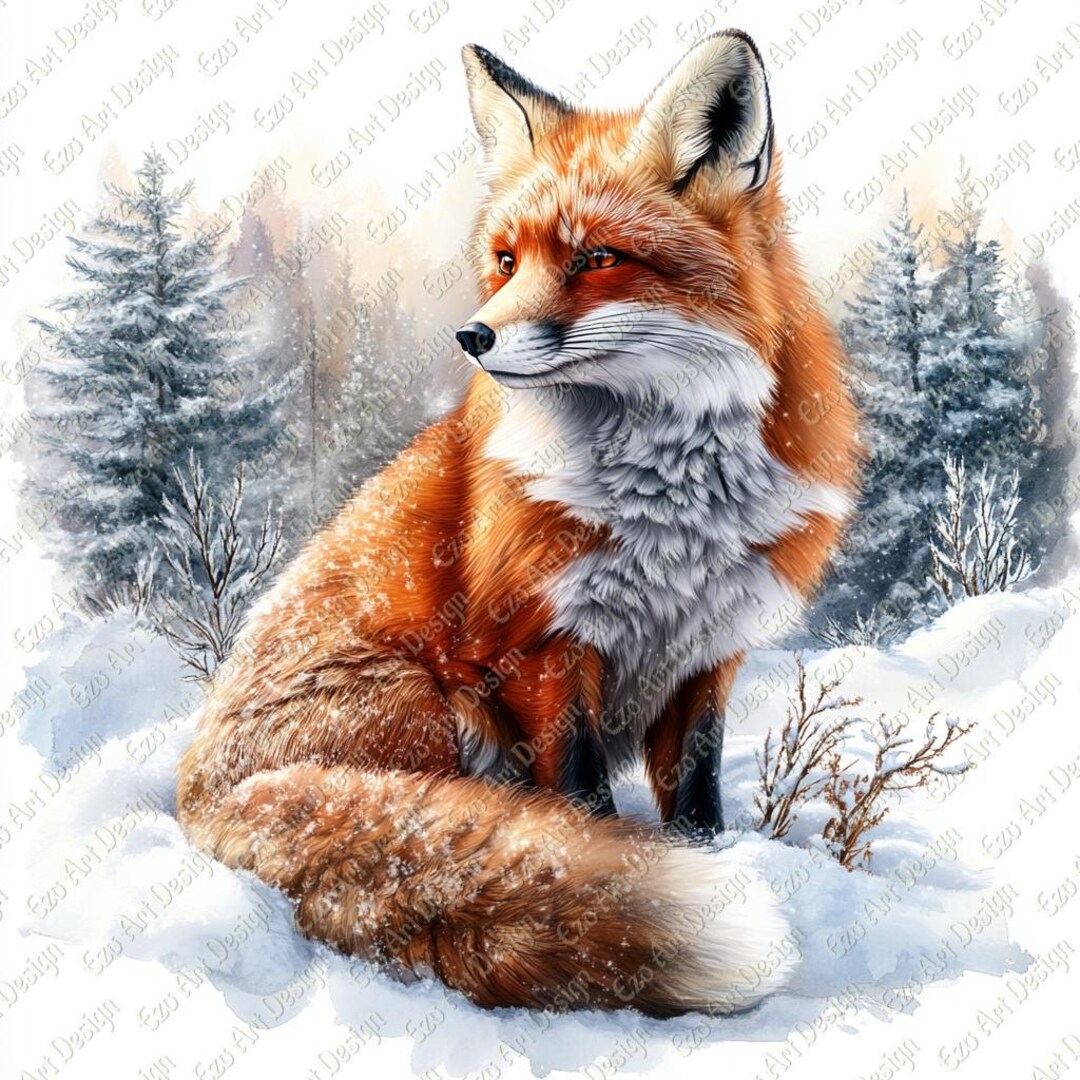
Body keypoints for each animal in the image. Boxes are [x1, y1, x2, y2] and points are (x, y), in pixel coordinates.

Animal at [176, 30, 856, 1017]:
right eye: (505, 260)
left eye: (597, 259)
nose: (472, 338)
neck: (671, 510)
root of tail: (197, 795)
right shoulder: (541, 649)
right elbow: (580, 806)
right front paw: (612, 868)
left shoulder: (706, 654)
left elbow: (696, 807)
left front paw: (713, 860)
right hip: (432, 700)